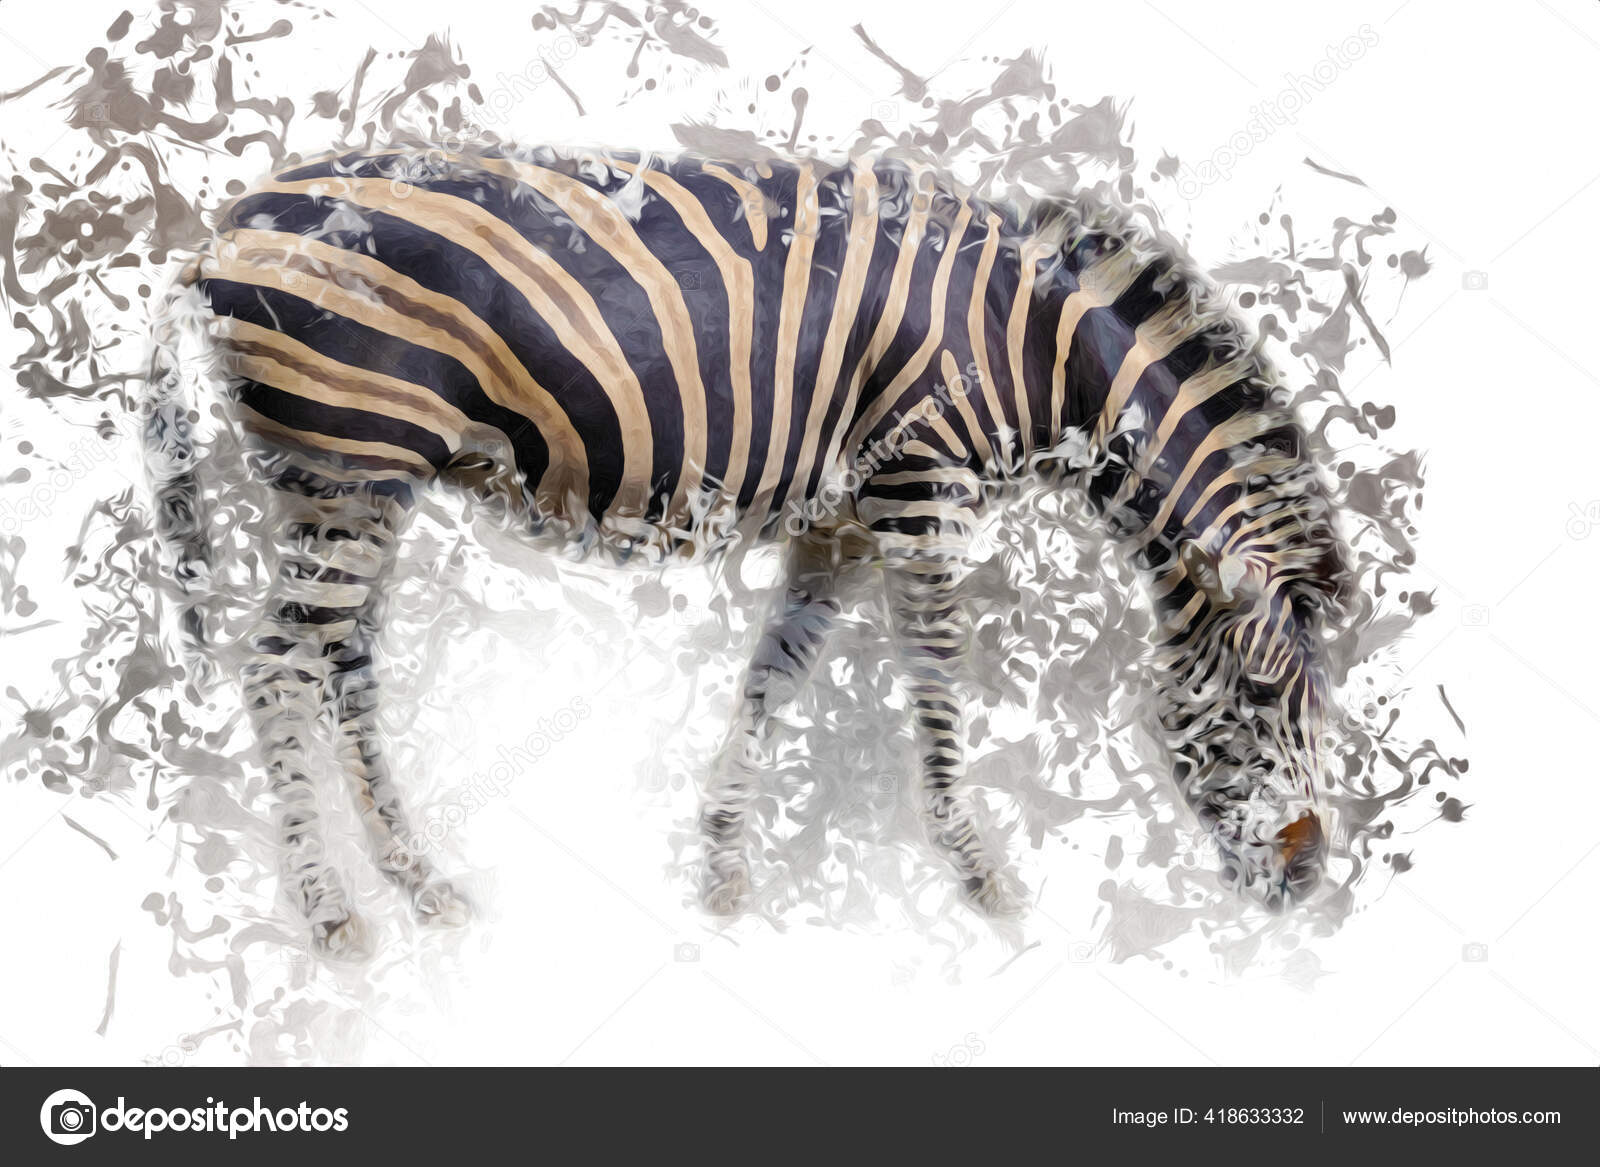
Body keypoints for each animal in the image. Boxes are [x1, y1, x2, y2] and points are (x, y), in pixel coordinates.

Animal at [144, 146, 1346, 958]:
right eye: (1256, 709)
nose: (1310, 873)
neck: (1041, 349)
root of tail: (222, 229)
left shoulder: (841, 518)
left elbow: (777, 672)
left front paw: (723, 868)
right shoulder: (921, 490)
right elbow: (938, 681)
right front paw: (980, 875)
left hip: (361, 484)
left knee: (343, 667)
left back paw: (420, 885)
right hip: (350, 464)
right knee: (278, 667)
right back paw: (332, 915)